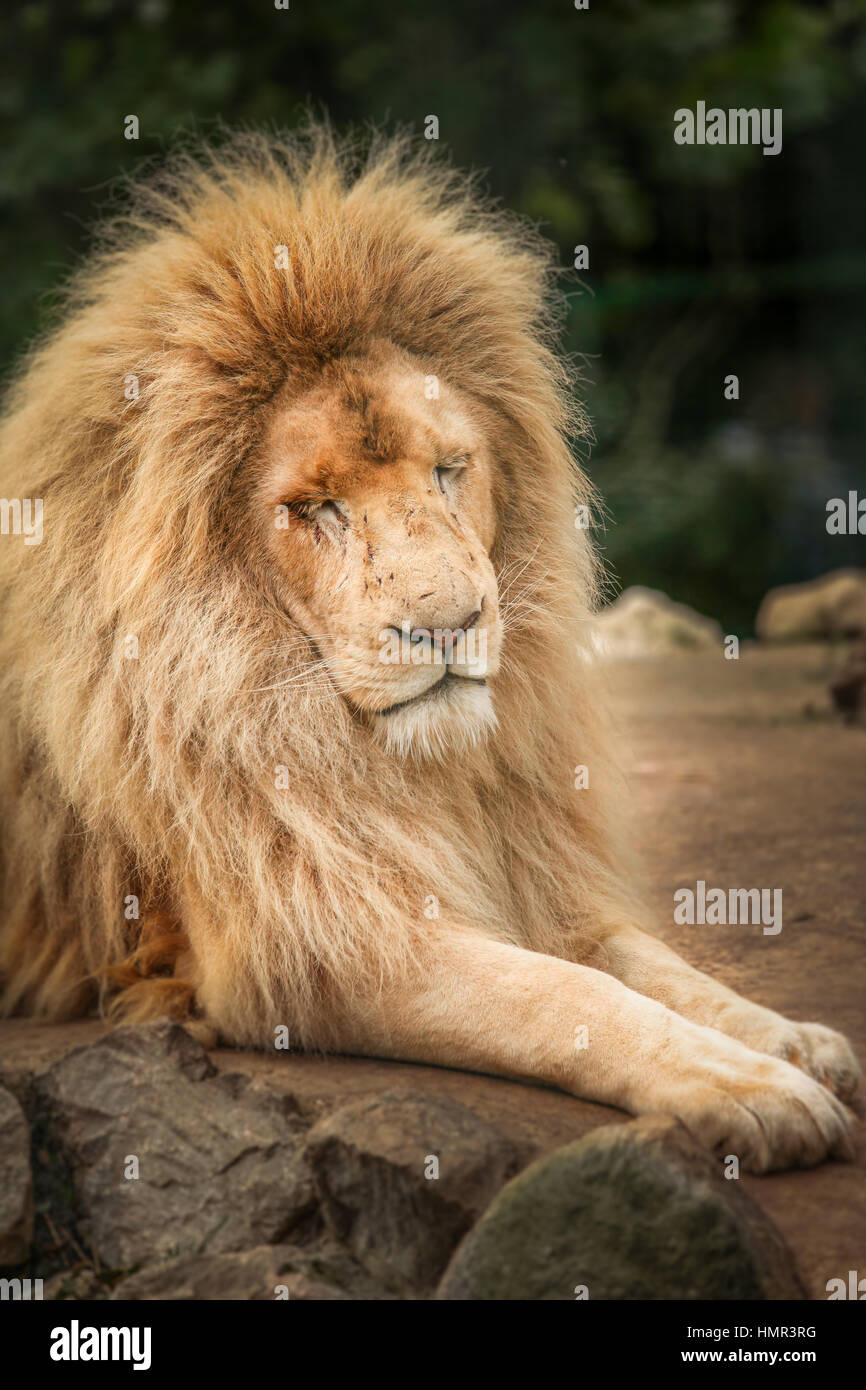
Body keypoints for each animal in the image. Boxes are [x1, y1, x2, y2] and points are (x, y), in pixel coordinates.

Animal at [0, 125, 859, 1173]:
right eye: (314, 508)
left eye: (450, 469)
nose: (451, 621)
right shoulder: (305, 949)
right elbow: (563, 993)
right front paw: (747, 1088)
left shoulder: (529, 863)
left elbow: (653, 963)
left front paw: (792, 1041)